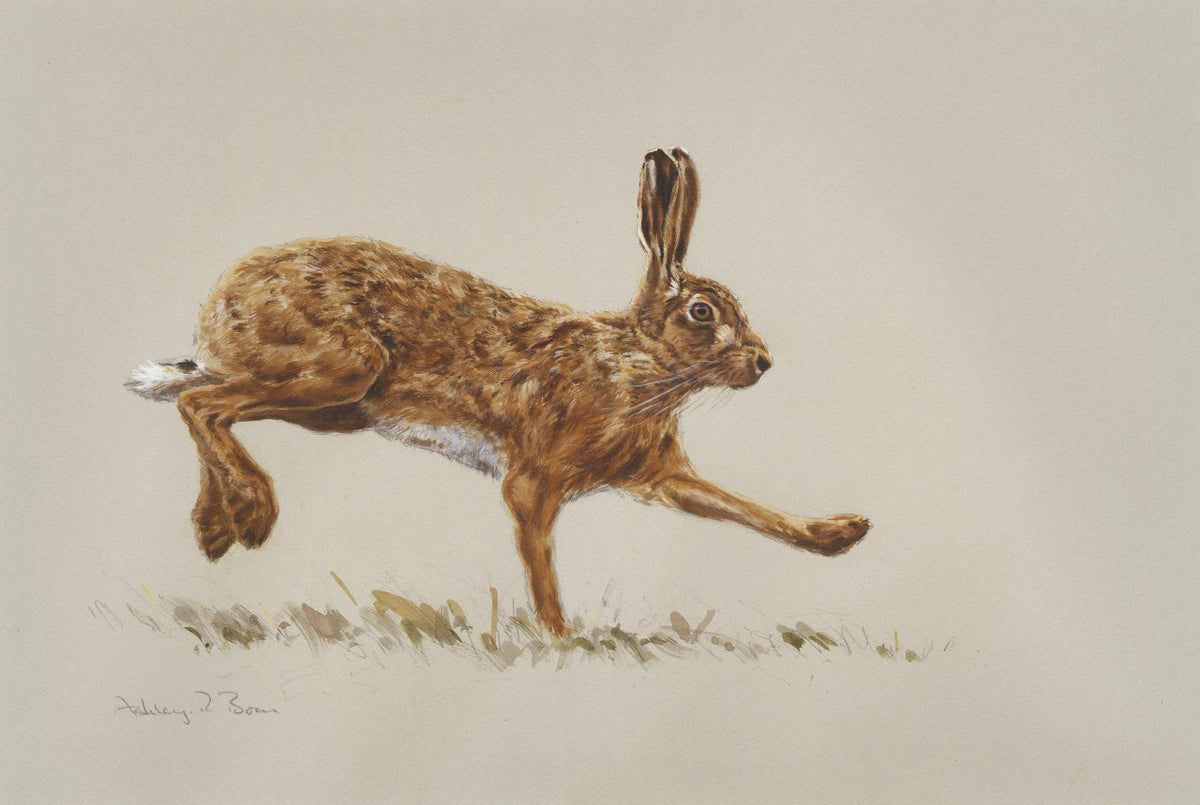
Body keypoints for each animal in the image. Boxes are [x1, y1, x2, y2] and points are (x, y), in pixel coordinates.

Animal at [125, 147, 869, 637]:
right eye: (703, 312)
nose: (764, 362)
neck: (641, 362)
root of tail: (219, 306)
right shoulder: (534, 482)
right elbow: (540, 563)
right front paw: (561, 640)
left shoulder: (660, 475)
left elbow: (745, 508)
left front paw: (838, 535)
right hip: (342, 367)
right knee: (202, 403)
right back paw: (251, 516)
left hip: (332, 404)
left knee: (200, 400)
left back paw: (213, 527)